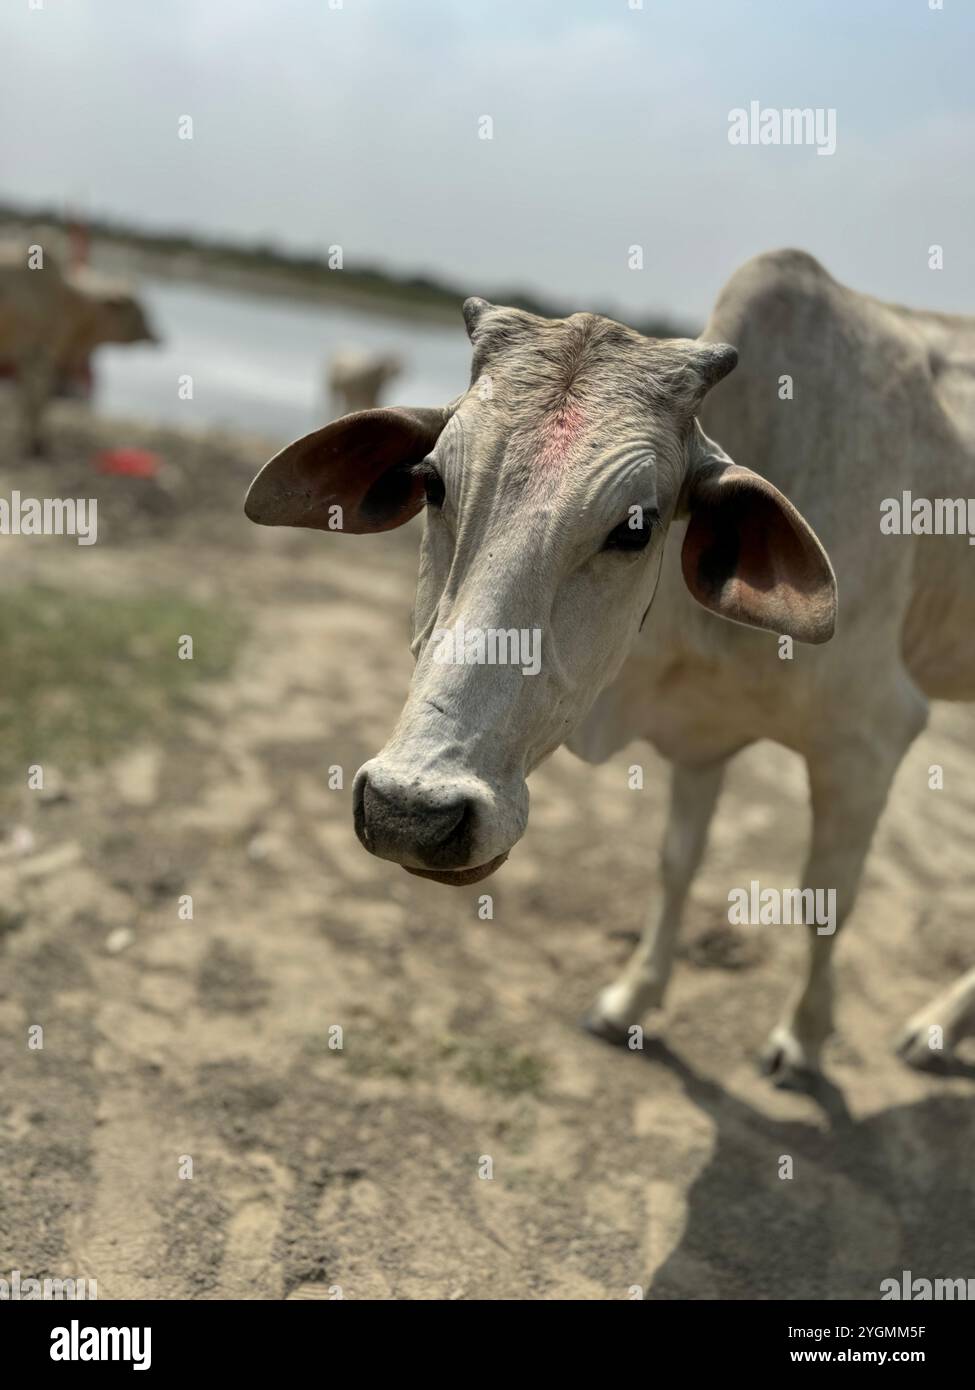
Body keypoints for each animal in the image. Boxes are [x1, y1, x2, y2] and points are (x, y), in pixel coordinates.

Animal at [0, 246, 157, 455]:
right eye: (140, 312)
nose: (159, 336)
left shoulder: (27, 357)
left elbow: (26, 401)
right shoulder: (40, 355)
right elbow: (36, 401)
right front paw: (36, 444)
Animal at [245, 249, 975, 1087]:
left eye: (634, 526)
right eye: (431, 484)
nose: (410, 812)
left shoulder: (868, 739)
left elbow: (827, 896)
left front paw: (801, 1038)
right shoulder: (703, 740)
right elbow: (676, 862)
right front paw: (631, 999)